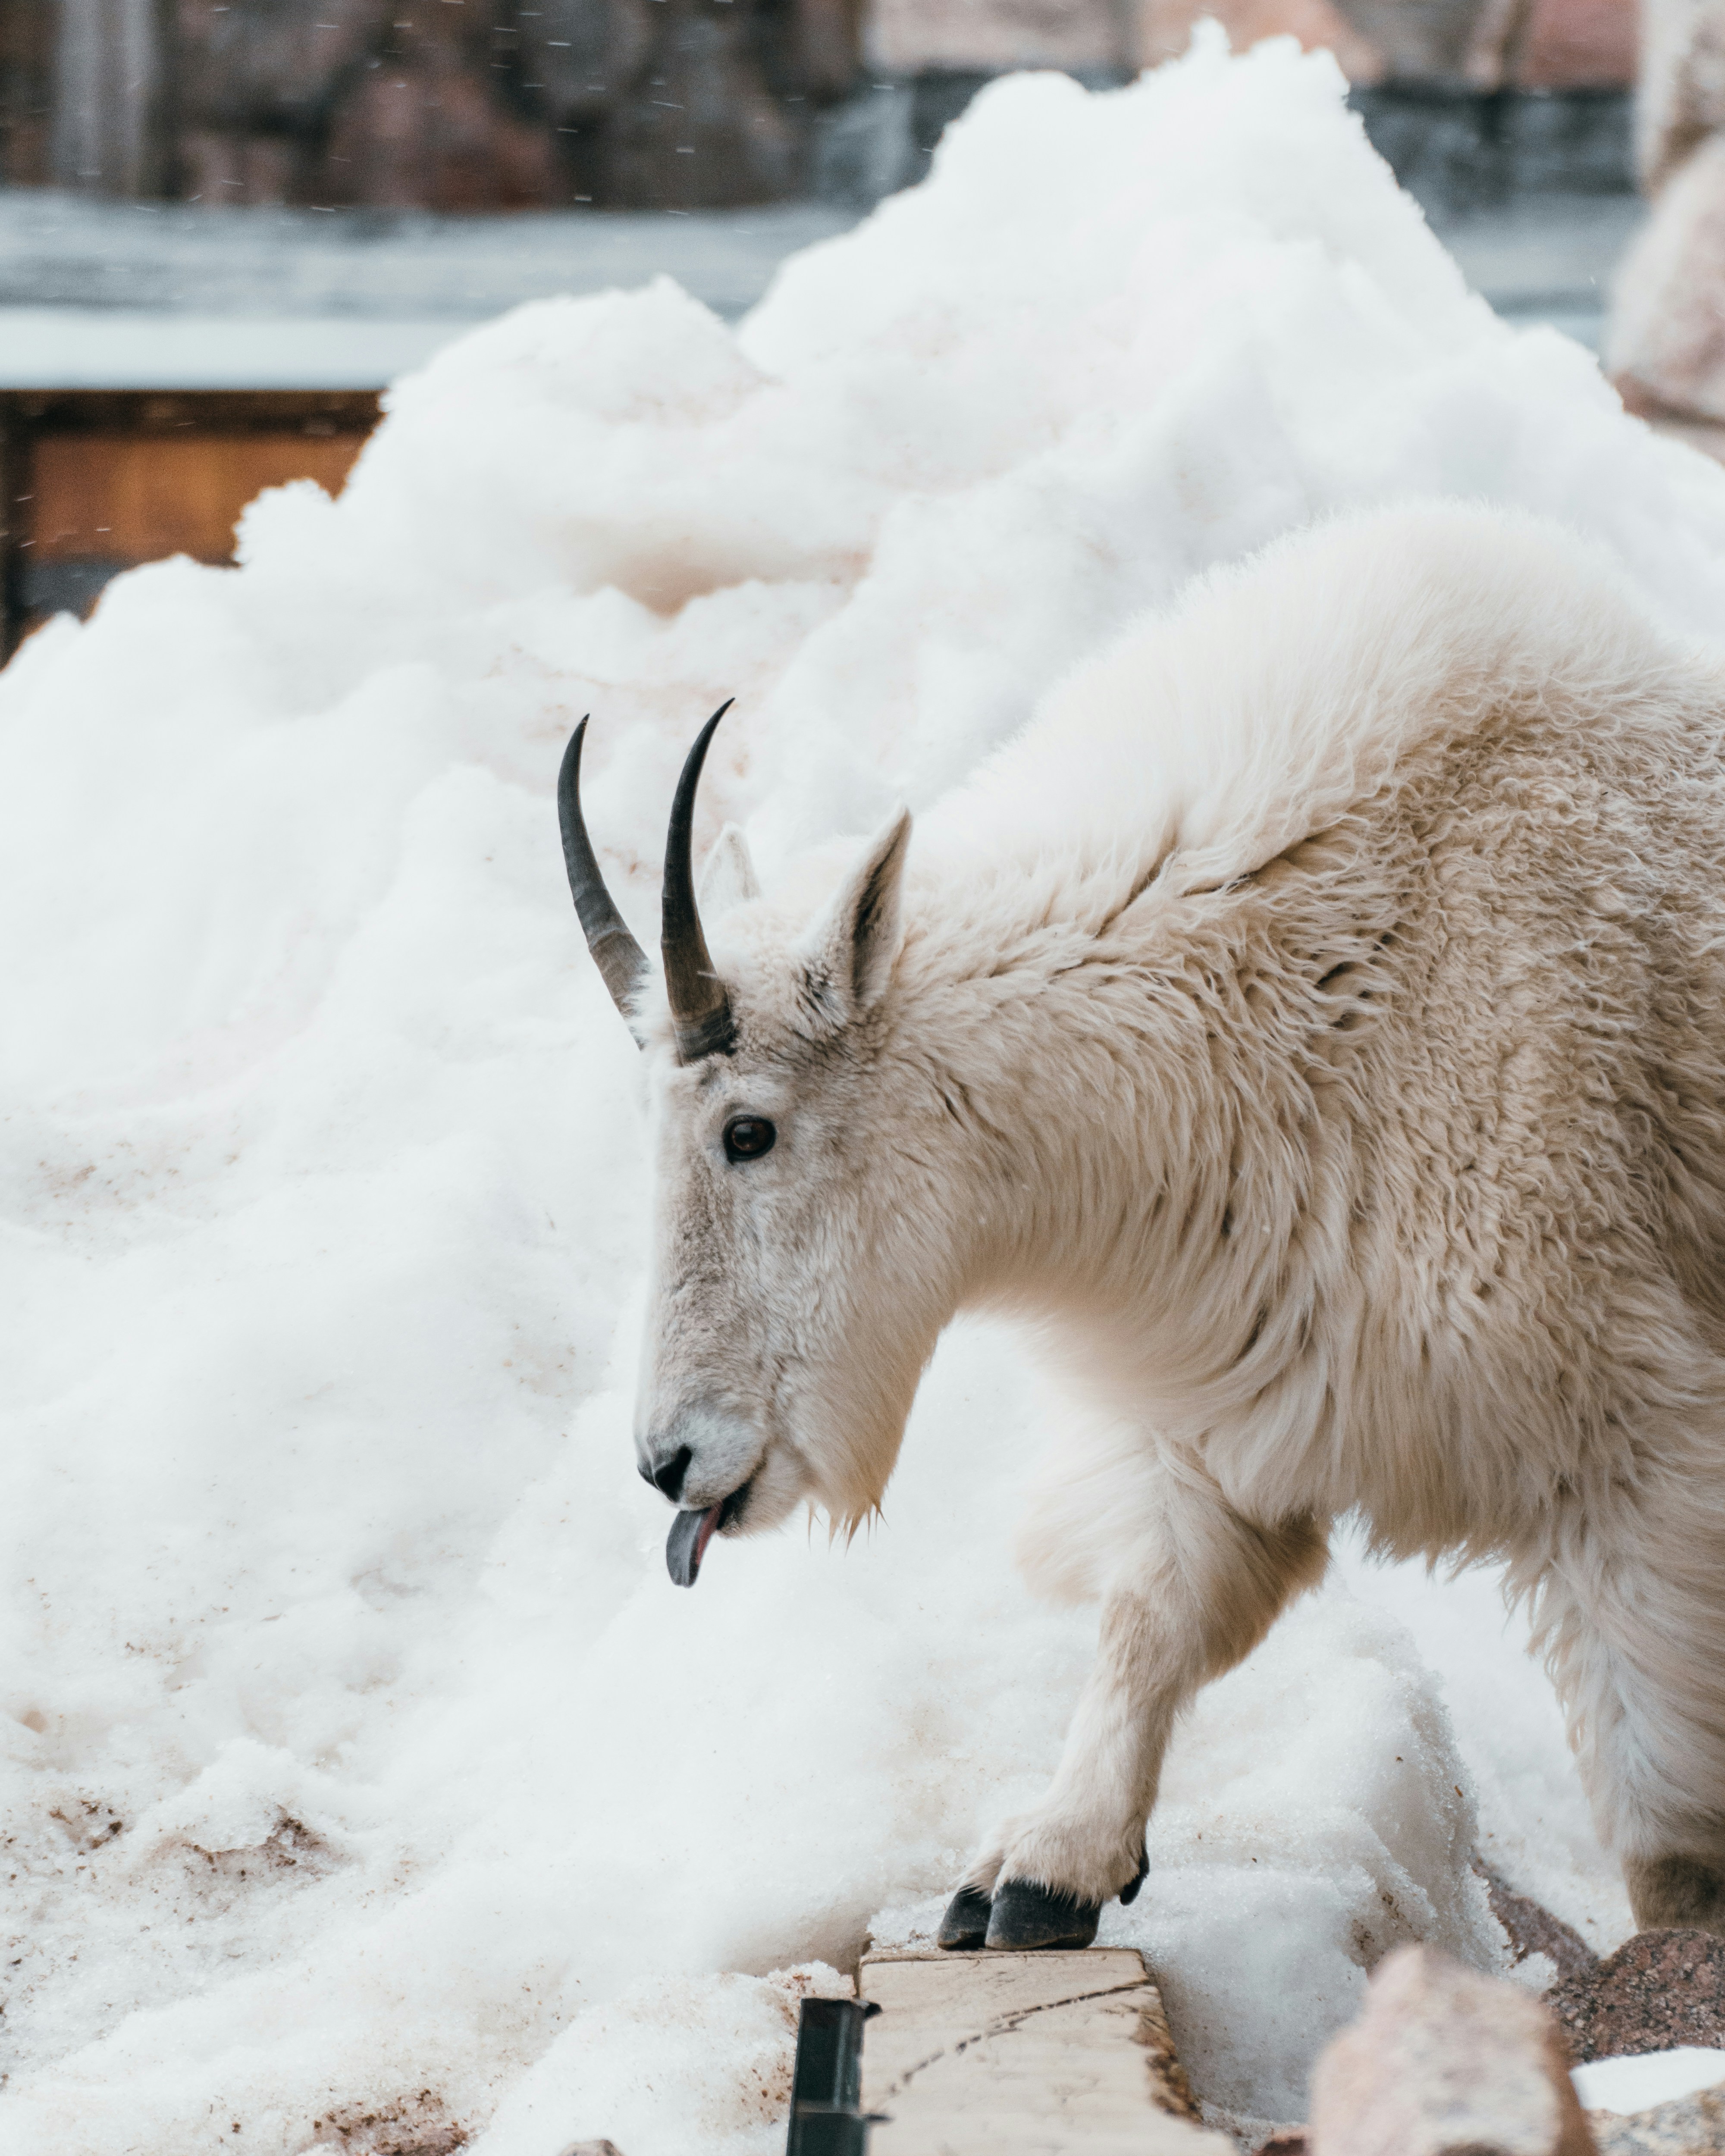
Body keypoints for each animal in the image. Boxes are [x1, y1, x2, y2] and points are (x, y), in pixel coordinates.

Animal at [559, 503, 1725, 1950]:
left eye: (746, 1130)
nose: (671, 1462)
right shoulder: (1217, 1383)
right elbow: (1149, 1614)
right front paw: (1041, 1868)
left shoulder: (1632, 1443)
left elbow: (1666, 1830)